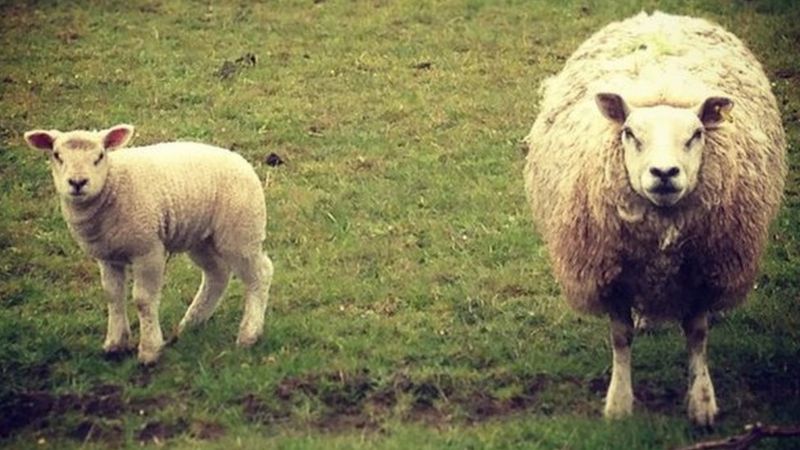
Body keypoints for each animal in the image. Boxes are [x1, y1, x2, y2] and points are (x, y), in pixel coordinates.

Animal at [23, 124, 274, 365]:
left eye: (100, 156)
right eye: (57, 155)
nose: (77, 183)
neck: (112, 183)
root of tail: (242, 162)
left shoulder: (147, 249)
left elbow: (143, 300)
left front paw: (150, 350)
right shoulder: (107, 256)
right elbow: (113, 295)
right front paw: (115, 344)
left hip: (240, 231)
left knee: (260, 274)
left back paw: (249, 334)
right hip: (200, 238)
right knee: (217, 274)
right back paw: (191, 322)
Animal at [523, 11, 786, 426]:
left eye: (696, 134)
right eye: (630, 133)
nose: (664, 173)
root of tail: (659, 16)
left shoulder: (703, 270)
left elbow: (697, 334)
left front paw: (702, 402)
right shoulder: (609, 274)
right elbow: (620, 337)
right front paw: (618, 403)